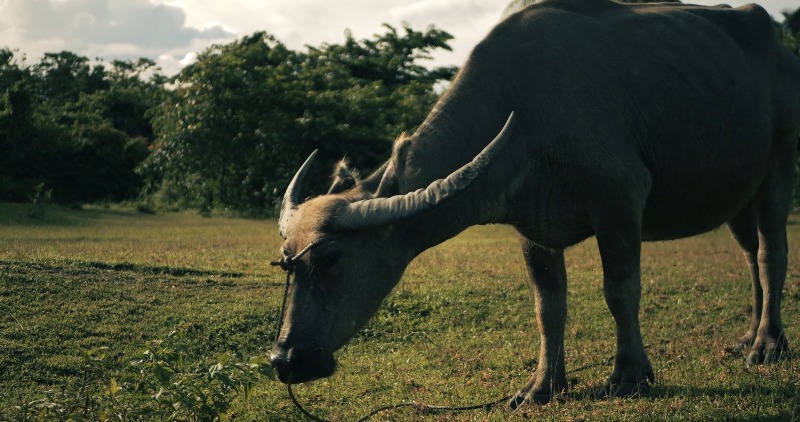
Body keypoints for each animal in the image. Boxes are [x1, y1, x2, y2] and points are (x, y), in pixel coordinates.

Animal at [270, 0, 800, 409]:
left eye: (331, 258)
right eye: (286, 264)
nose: (286, 359)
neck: (525, 108)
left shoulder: (620, 201)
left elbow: (620, 290)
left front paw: (629, 375)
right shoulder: (532, 227)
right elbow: (549, 306)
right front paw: (542, 387)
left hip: (778, 167)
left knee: (771, 254)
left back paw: (767, 346)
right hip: (738, 197)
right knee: (749, 256)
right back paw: (748, 336)